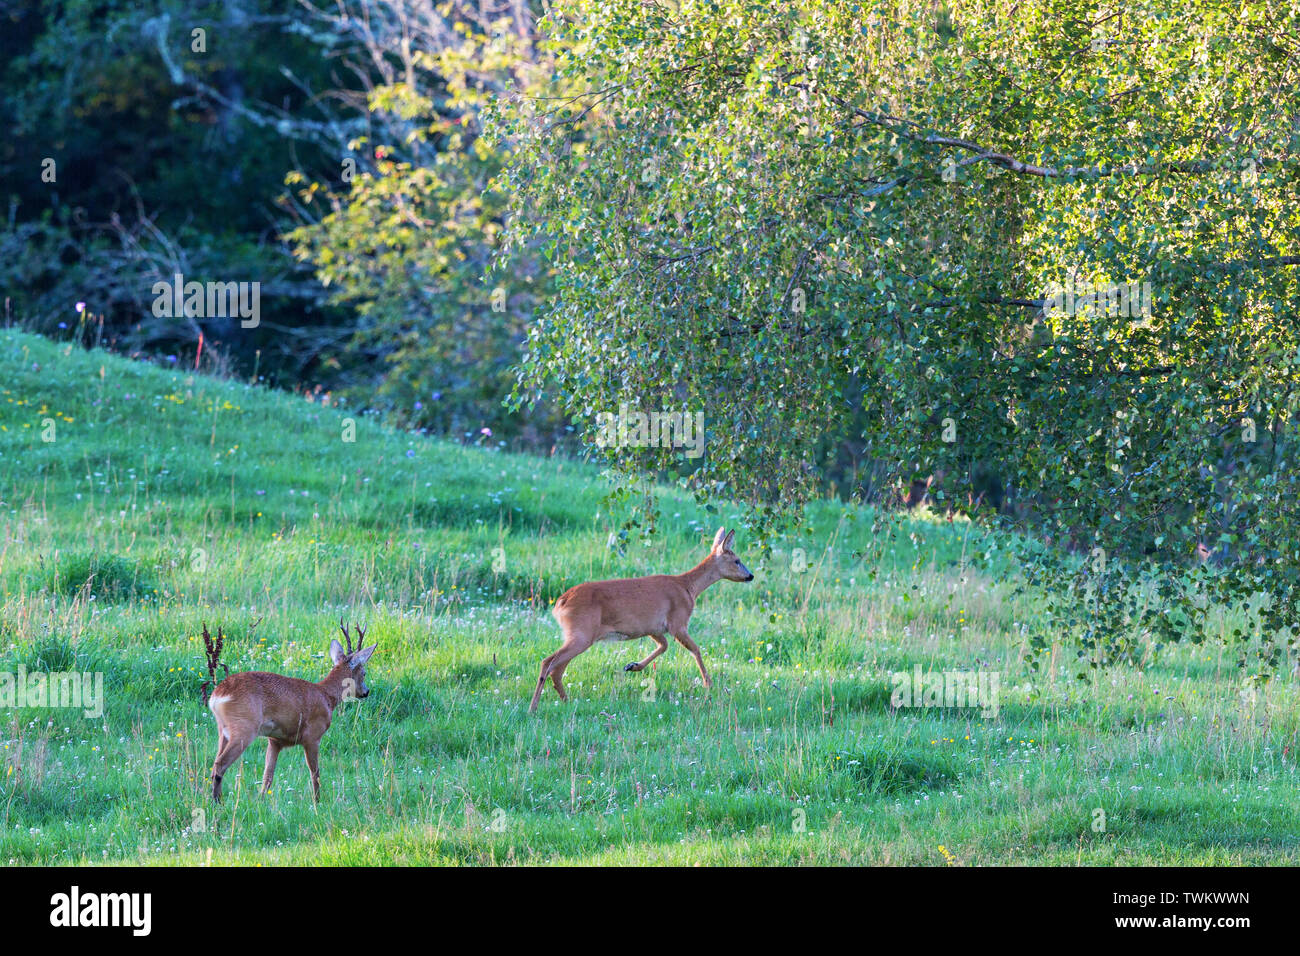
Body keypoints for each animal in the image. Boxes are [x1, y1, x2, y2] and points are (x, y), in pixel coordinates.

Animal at [207, 619, 376, 803]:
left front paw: (261, 800)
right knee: (220, 764)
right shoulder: (312, 736)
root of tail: (218, 695)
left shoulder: (275, 741)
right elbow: (315, 773)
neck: (327, 696)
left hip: (223, 730)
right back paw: (217, 802)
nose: (366, 692)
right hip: (244, 727)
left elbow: (267, 776)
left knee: (215, 763)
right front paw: (317, 801)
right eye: (364, 673)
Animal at [529, 527, 754, 713]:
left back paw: (567, 701)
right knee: (548, 662)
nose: (750, 576)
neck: (688, 588)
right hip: (582, 633)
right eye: (737, 560)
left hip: (577, 635)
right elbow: (696, 650)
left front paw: (632, 666)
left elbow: (663, 646)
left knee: (557, 669)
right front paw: (709, 684)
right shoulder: (677, 622)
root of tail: (560, 603)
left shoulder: (653, 628)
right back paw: (533, 707)